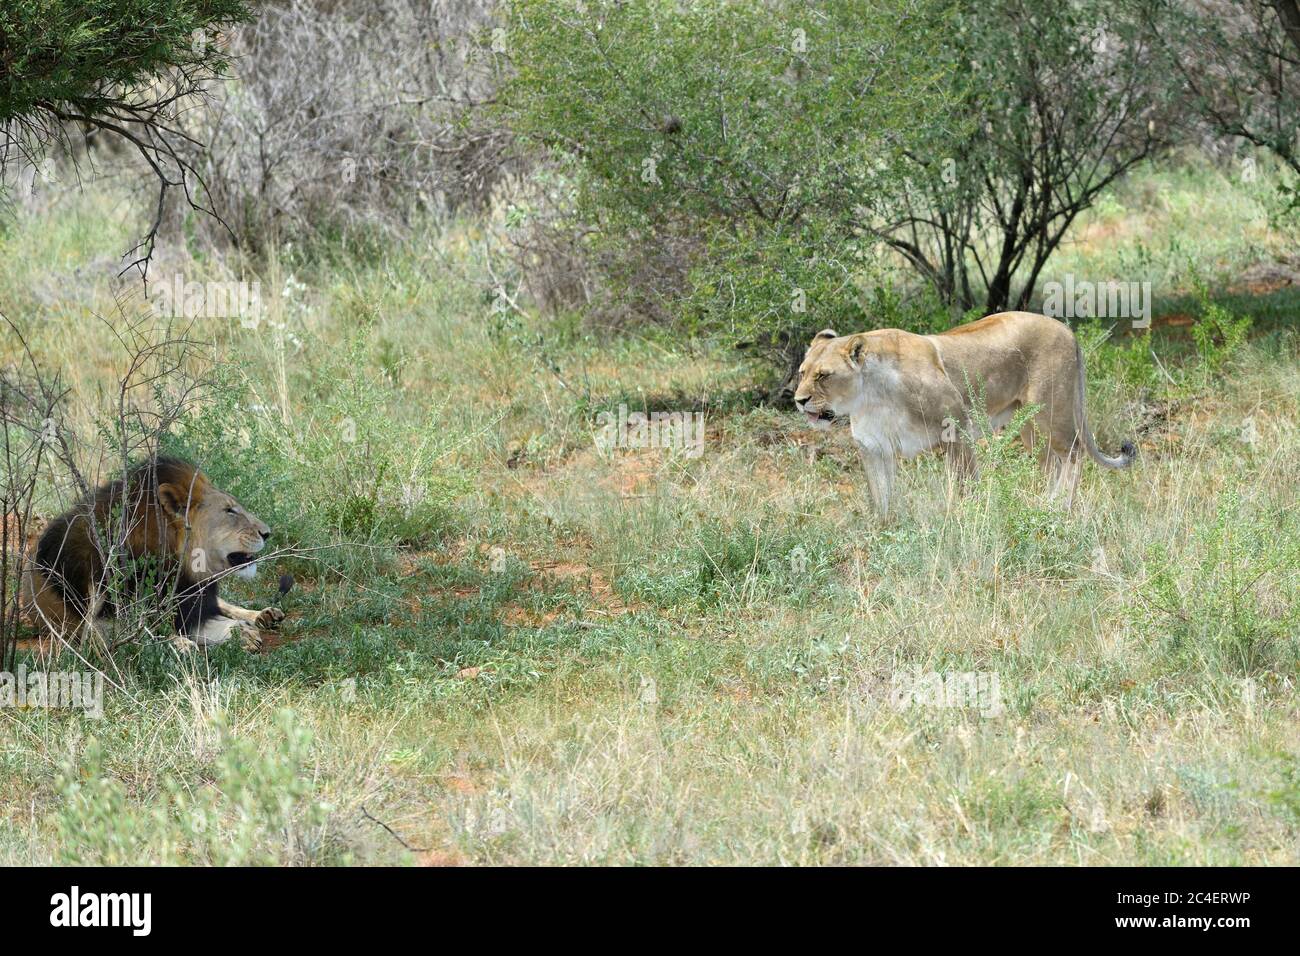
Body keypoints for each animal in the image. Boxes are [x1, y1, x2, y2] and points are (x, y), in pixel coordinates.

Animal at [20, 456, 284, 651]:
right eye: (229, 511)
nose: (267, 533)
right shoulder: (95, 625)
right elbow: (144, 632)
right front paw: (179, 644)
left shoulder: (192, 604)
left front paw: (243, 631)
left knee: (226, 605)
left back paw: (264, 615)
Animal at [792, 311, 1136, 515]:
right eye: (802, 372)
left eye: (824, 376)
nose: (798, 400)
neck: (870, 398)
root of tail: (1067, 329)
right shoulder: (874, 449)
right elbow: (881, 496)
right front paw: (884, 530)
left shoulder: (956, 429)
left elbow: (965, 485)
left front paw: (966, 518)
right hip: (1030, 426)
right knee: (1052, 461)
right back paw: (1042, 504)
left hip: (1052, 412)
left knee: (1074, 453)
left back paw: (1060, 506)